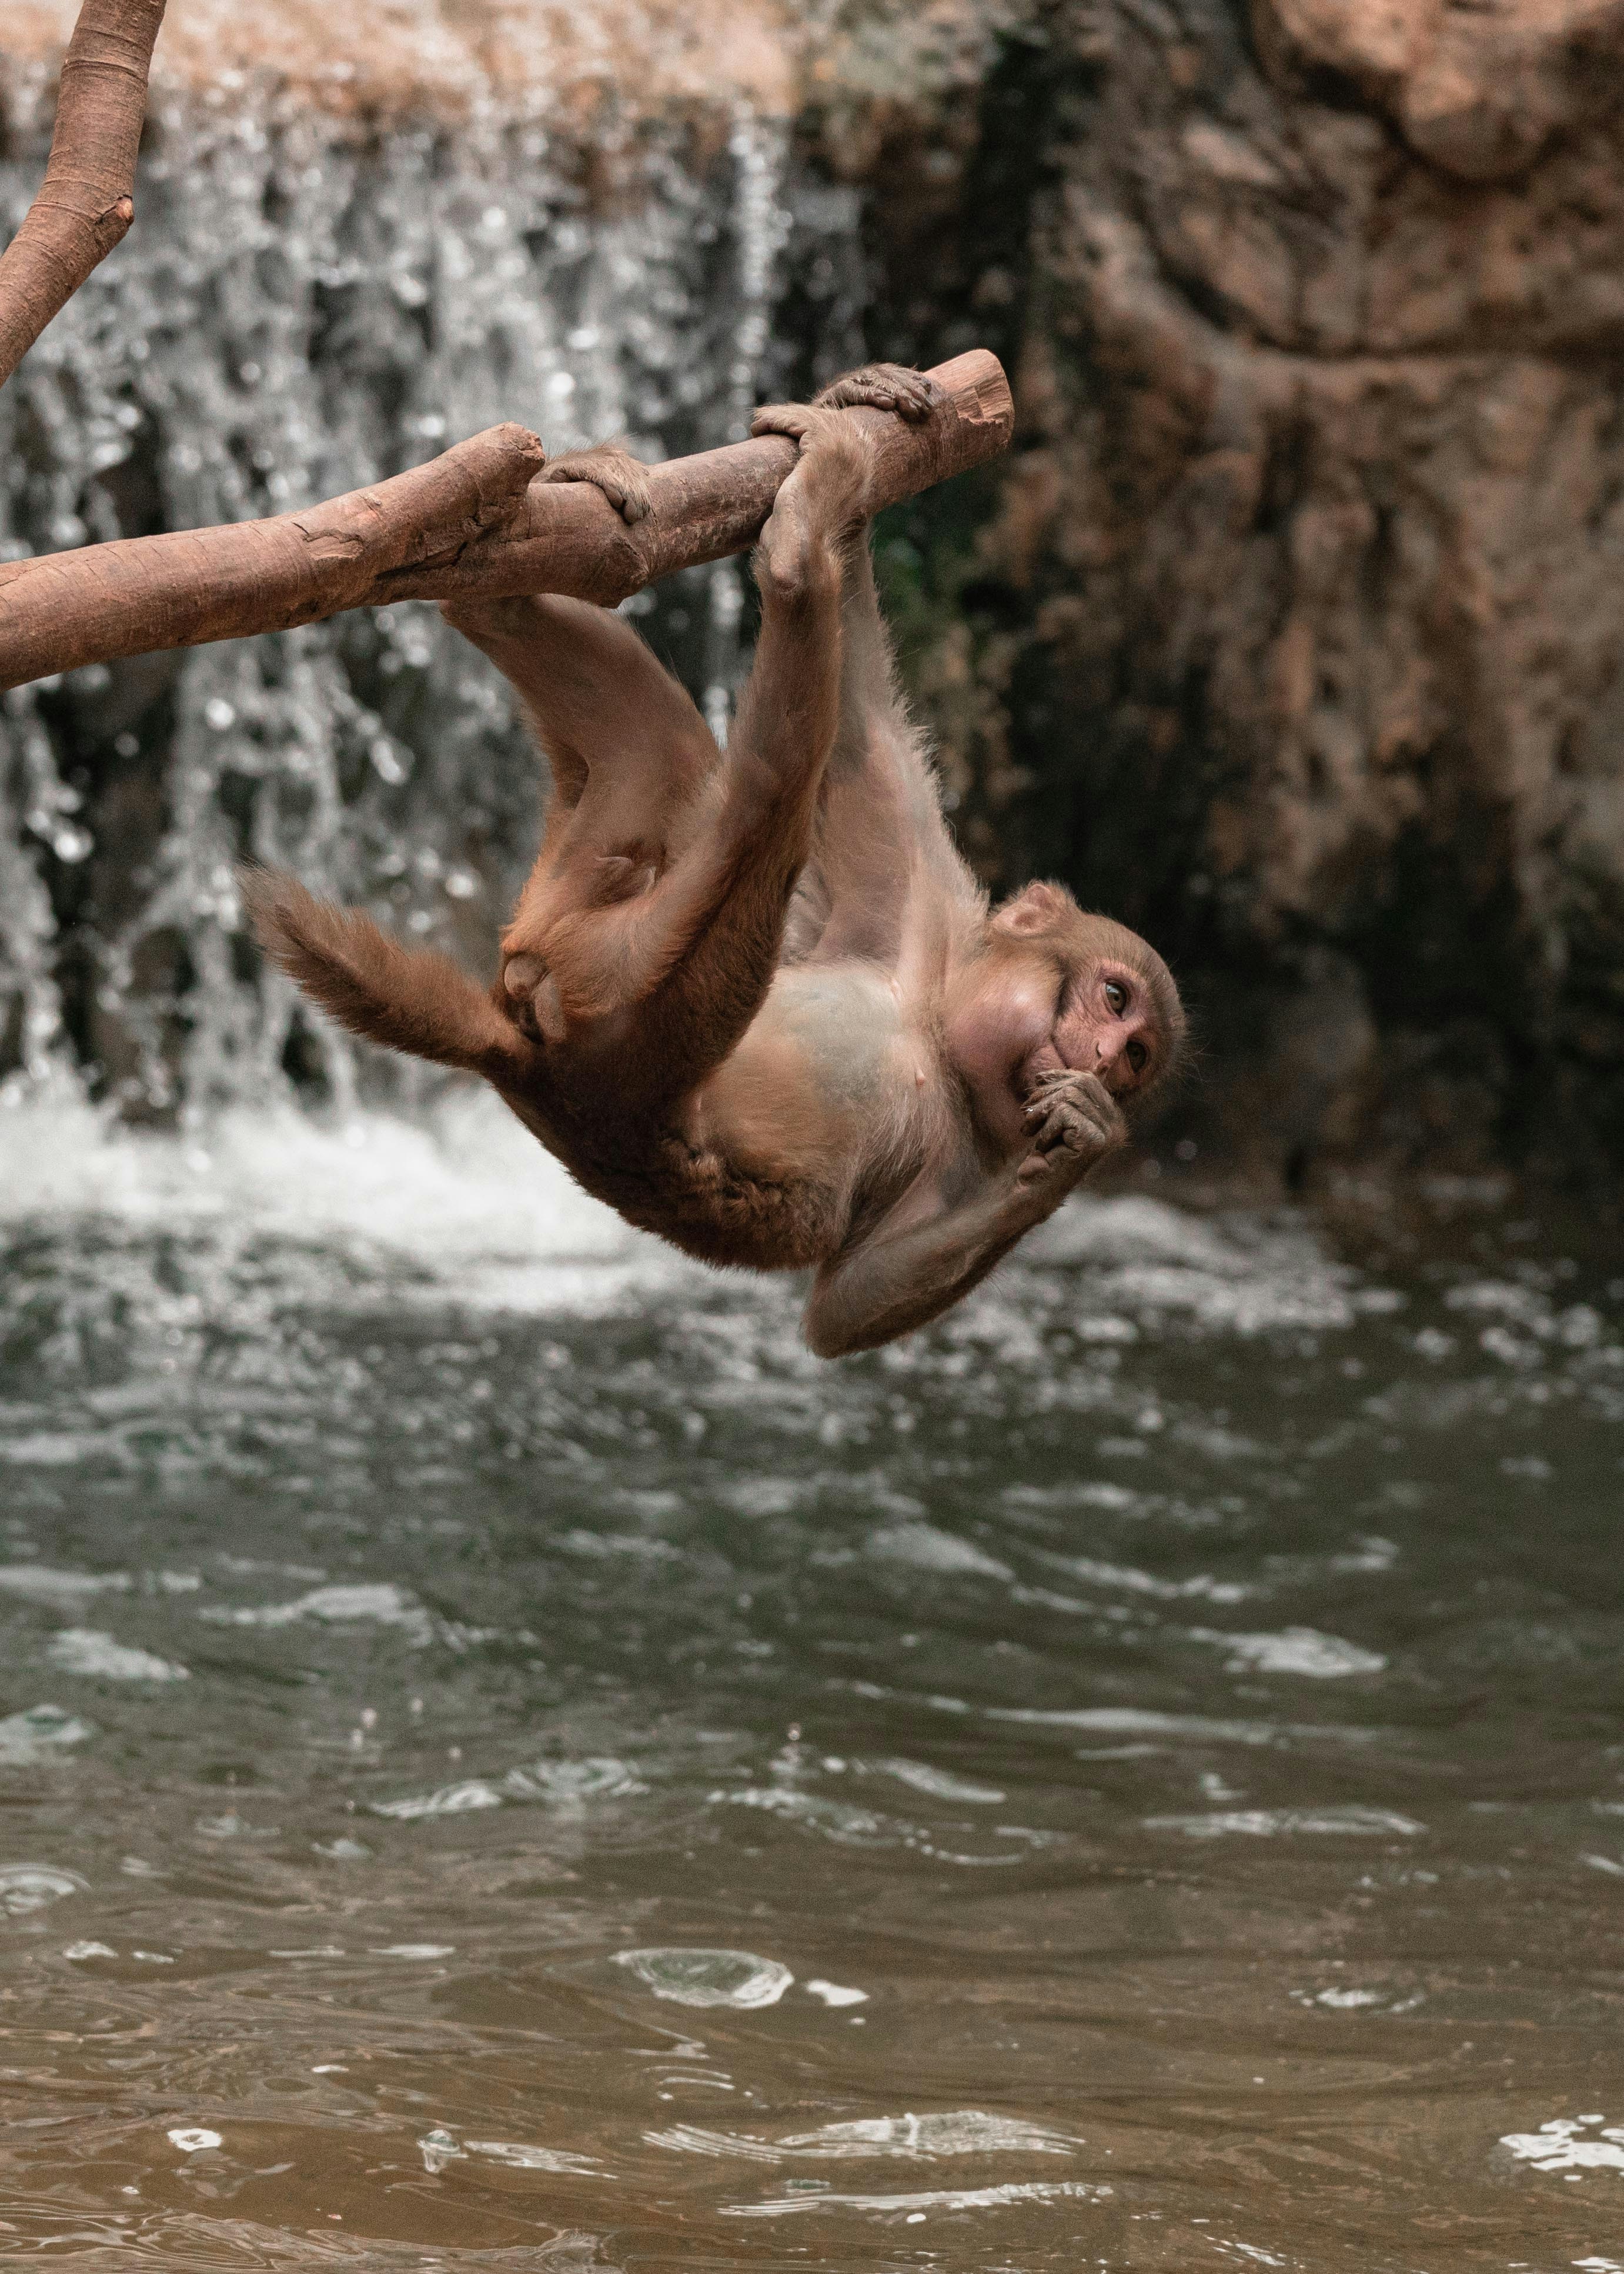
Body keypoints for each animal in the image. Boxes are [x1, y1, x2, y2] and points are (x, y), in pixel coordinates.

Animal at [246, 365, 1185, 1357]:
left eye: (1135, 1056)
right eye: (1113, 997)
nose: (1101, 1054)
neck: (932, 1018)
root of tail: (526, 1056)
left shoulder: (972, 1148)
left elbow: (845, 1307)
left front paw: (1085, 1138)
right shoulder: (918, 892)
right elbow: (863, 736)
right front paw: (862, 403)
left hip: (618, 983)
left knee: (729, 785)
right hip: (631, 983)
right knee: (775, 782)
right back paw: (785, 526)